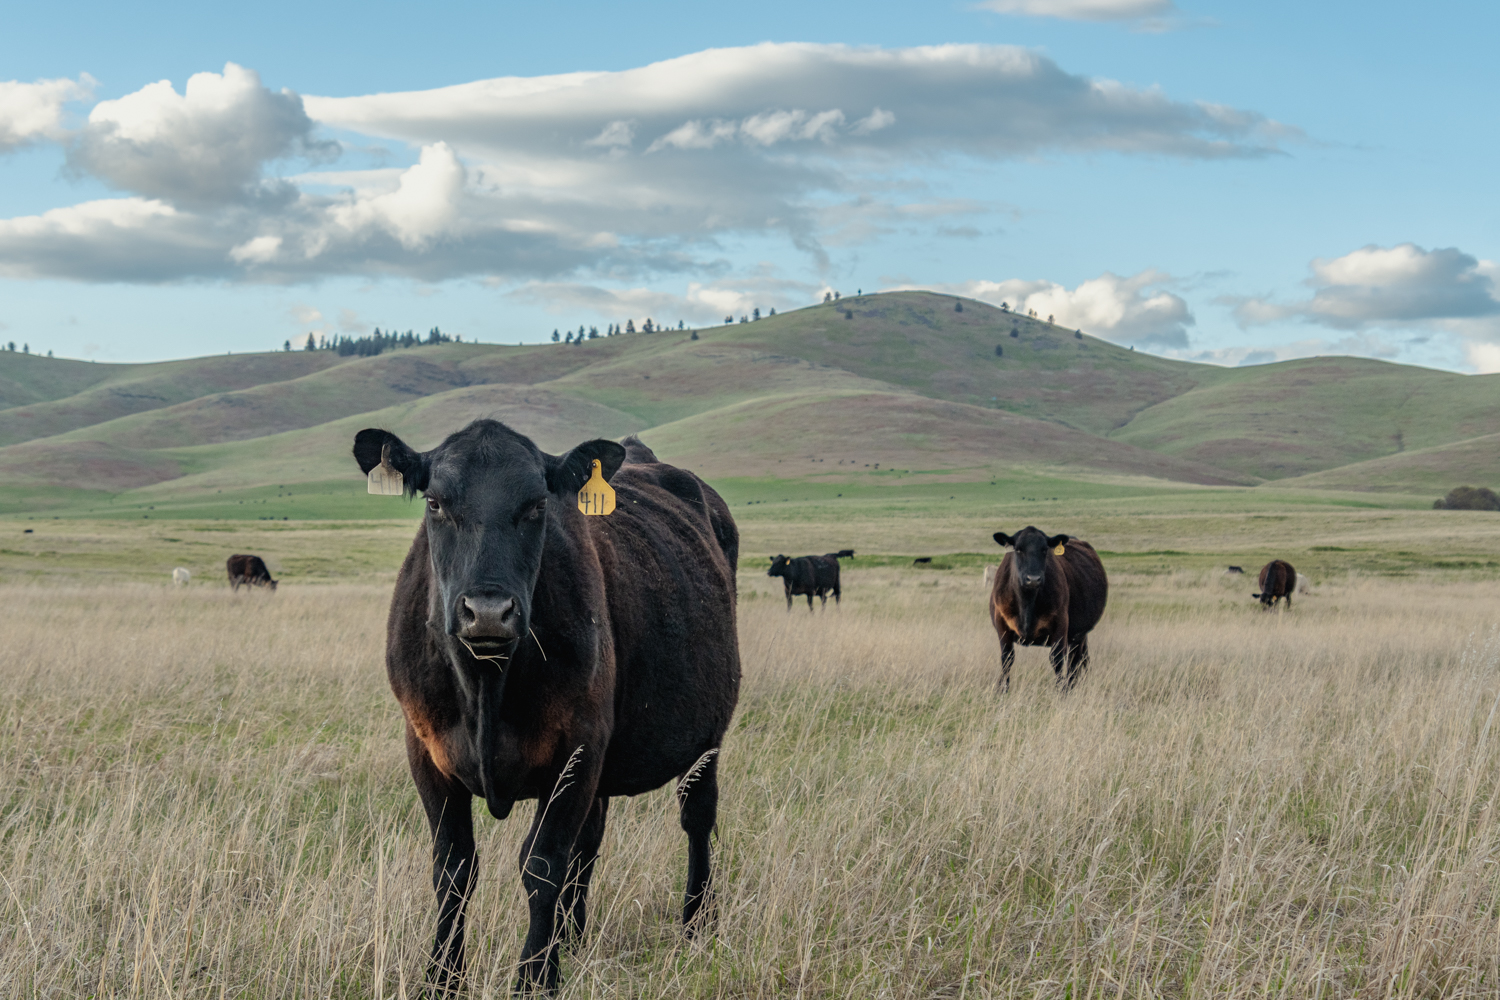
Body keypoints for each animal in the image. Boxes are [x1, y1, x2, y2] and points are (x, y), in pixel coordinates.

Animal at [352, 420, 740, 994]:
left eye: (536, 505)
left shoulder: (575, 749)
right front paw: (442, 976)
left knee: (696, 818)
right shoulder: (425, 749)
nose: (487, 611)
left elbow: (542, 863)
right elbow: (453, 868)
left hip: (706, 736)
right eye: (436, 503)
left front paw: (536, 975)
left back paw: (697, 923)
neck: (486, 685)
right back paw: (573, 938)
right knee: (591, 841)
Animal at [989, 526, 1108, 691]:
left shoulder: (1060, 625)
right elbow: (1007, 658)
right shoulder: (1002, 624)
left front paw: (1060, 691)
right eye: (1018, 549)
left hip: (1079, 634)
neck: (1027, 603)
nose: (1033, 579)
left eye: (1045, 549)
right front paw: (1003, 690)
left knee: (1074, 663)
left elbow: (1057, 659)